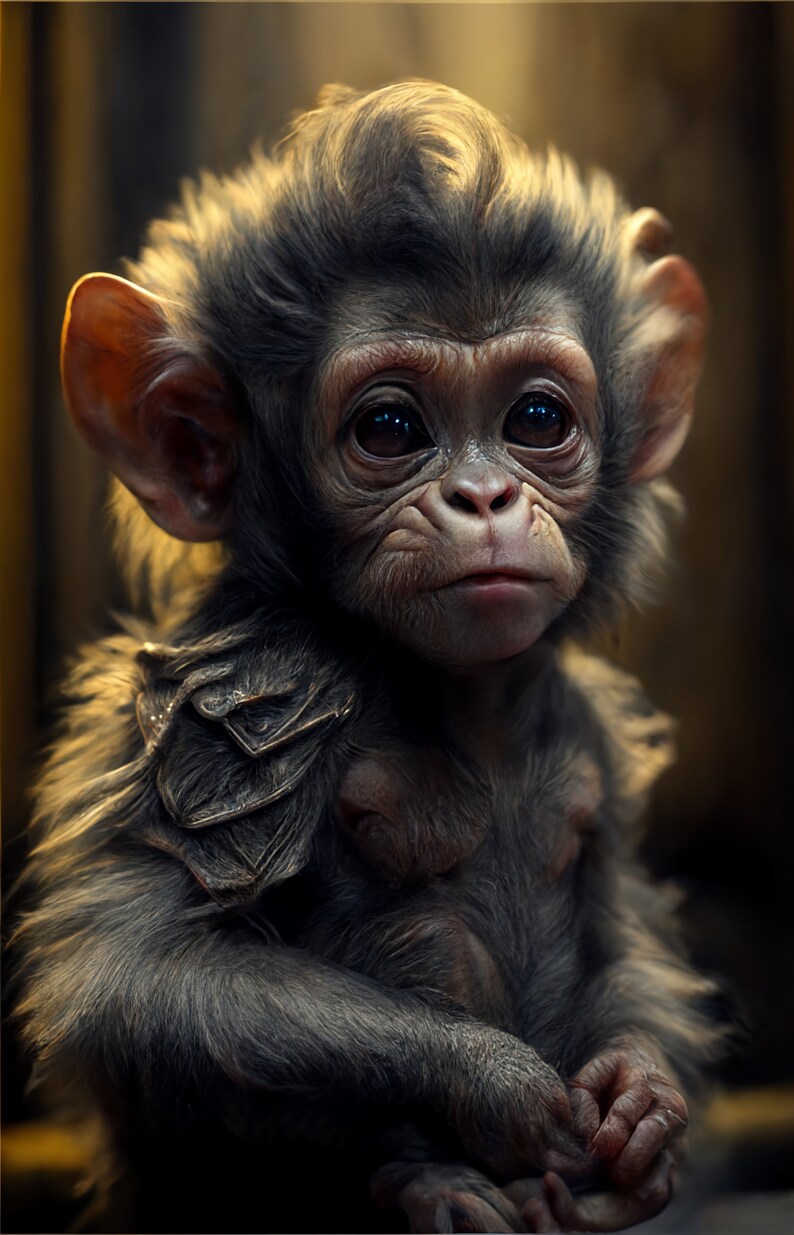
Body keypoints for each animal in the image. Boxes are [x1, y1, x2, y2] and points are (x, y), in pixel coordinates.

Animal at [14, 81, 723, 1234]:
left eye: (536, 417)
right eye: (389, 428)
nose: (483, 496)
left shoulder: (599, 742)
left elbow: (622, 919)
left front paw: (643, 1096)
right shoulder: (249, 690)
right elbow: (132, 976)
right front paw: (498, 1083)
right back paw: (424, 1182)